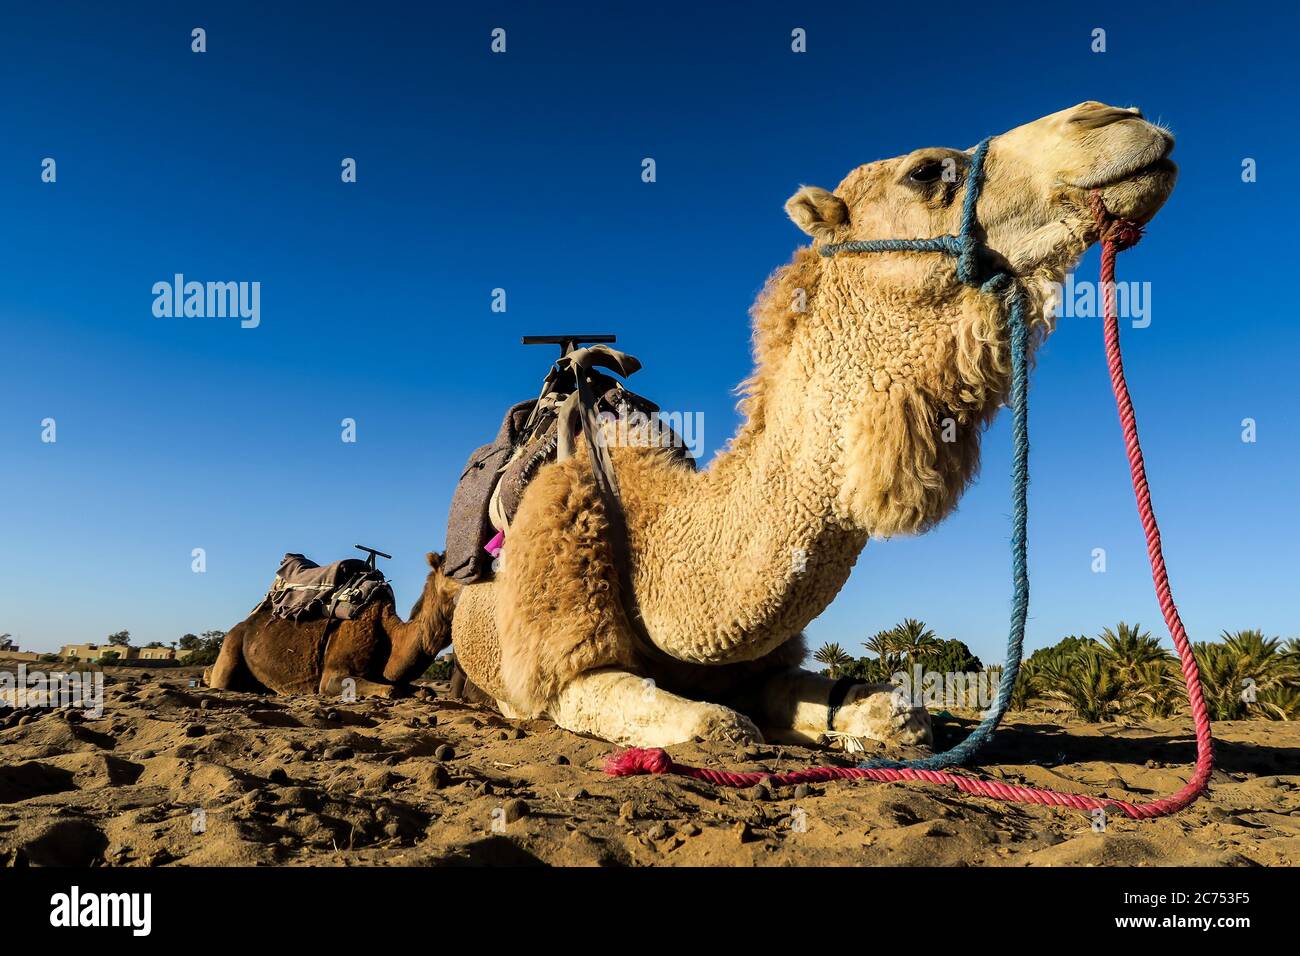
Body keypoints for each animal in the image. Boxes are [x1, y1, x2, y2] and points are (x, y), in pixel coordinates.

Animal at [448, 101, 1177, 749]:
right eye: (925, 170)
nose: (1116, 117)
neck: (654, 537)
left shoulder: (764, 662)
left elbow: (896, 714)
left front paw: (858, 723)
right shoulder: (559, 657)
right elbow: (716, 724)